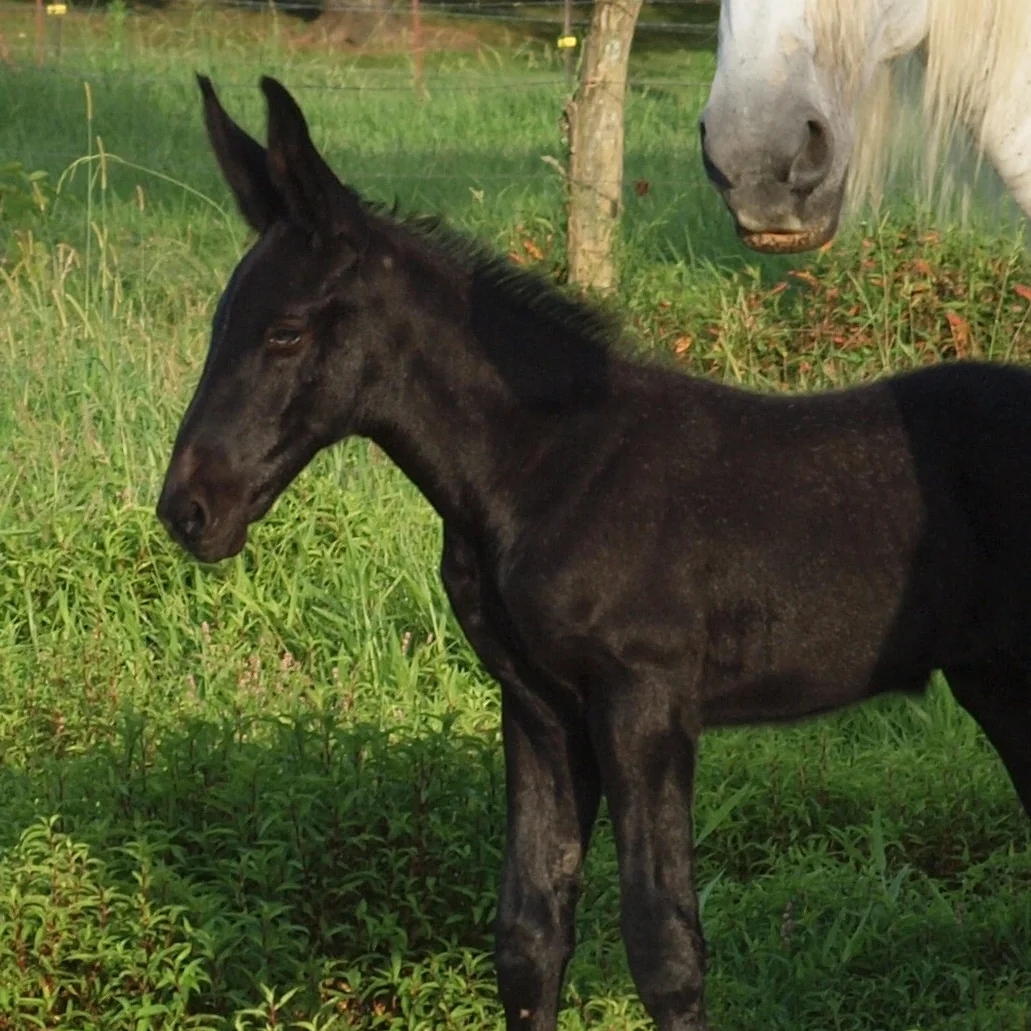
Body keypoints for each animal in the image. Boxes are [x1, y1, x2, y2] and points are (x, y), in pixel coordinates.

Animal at [158, 76, 1031, 1031]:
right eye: (218, 321)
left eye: (285, 332)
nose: (188, 510)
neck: (545, 466)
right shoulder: (538, 703)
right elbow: (529, 931)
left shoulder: (643, 700)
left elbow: (663, 944)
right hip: (996, 681)